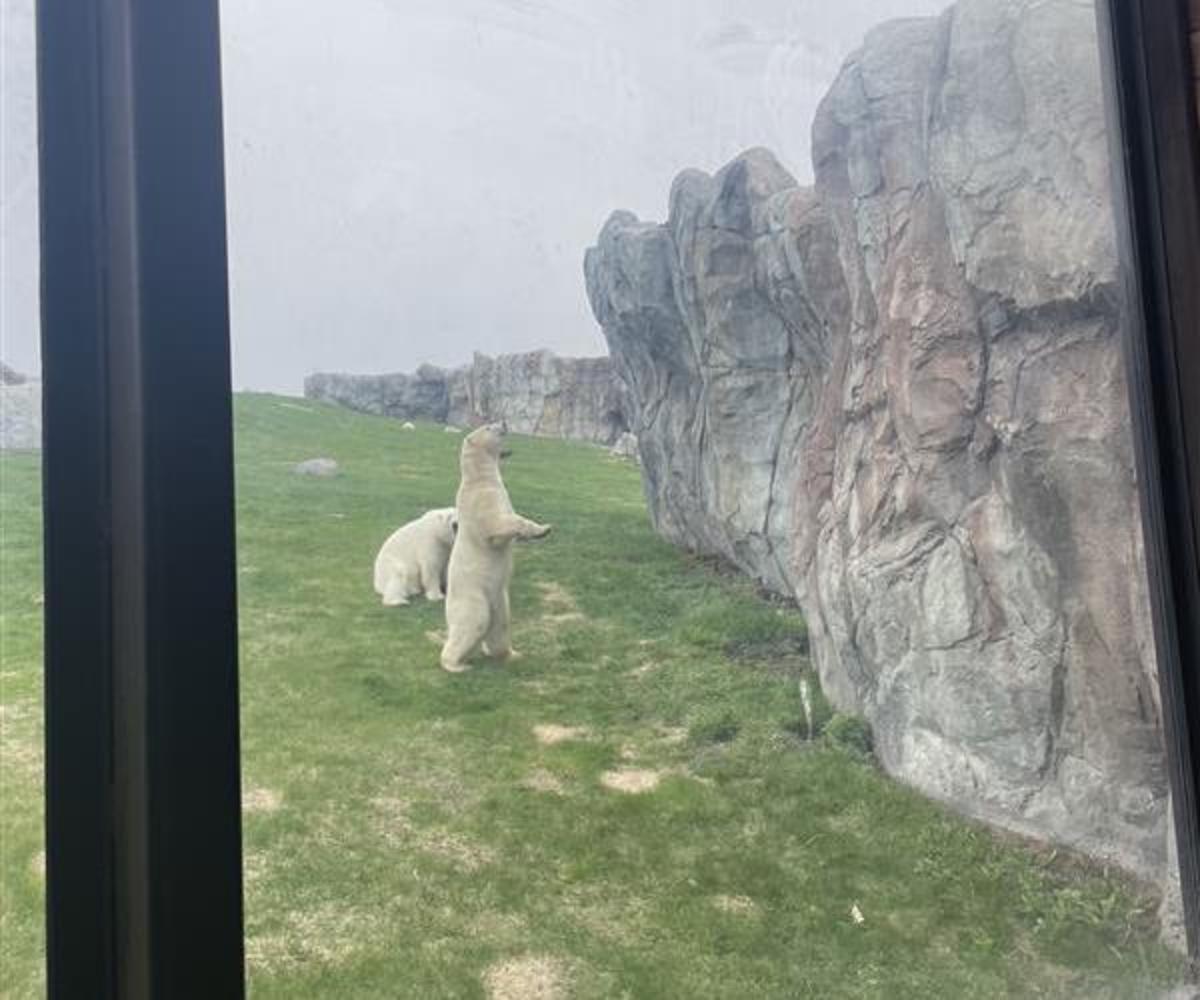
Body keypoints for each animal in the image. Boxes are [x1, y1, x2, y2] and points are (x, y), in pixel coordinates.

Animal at [441, 423, 551, 672]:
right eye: (489, 426)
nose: (504, 422)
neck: (478, 478)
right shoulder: (482, 500)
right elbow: (498, 525)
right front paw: (541, 529)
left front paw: (543, 529)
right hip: (473, 598)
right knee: (472, 624)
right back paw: (457, 665)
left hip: (500, 601)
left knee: (500, 628)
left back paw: (511, 655)